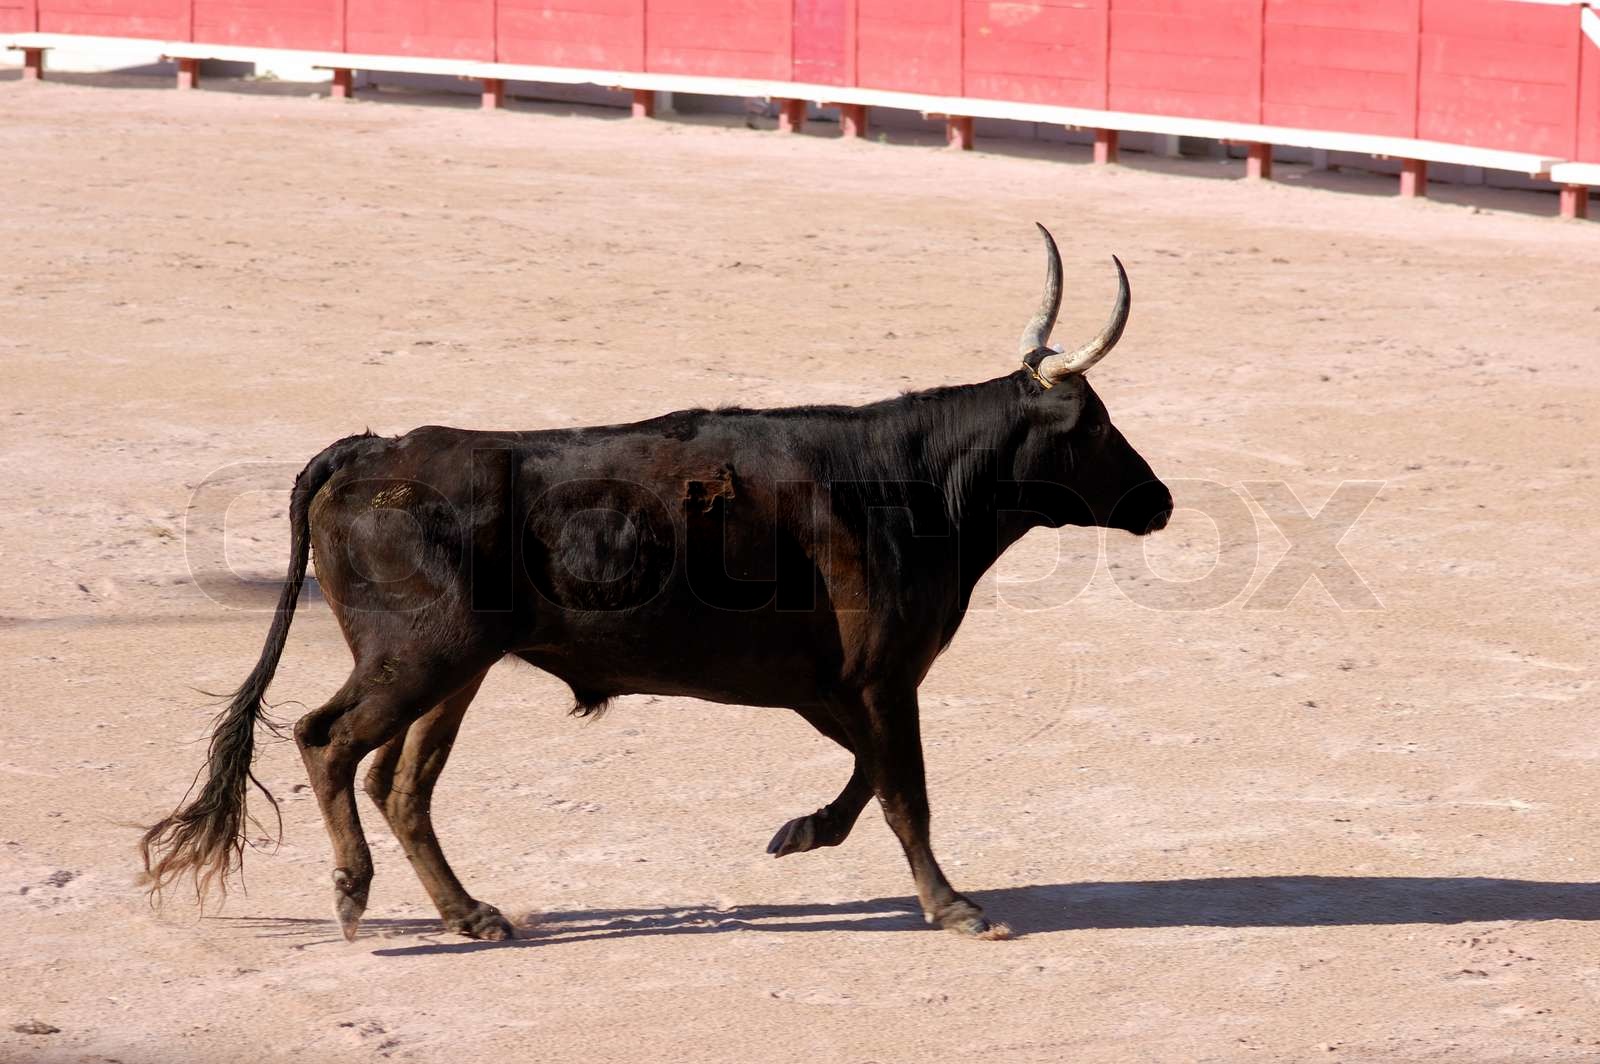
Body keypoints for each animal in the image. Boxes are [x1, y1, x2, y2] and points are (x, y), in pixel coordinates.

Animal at [141, 224, 1172, 942]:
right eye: (1096, 425)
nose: (1159, 500)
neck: (909, 481)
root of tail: (374, 449)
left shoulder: (832, 685)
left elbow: (865, 777)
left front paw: (800, 834)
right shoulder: (883, 678)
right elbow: (904, 790)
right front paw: (955, 907)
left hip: (456, 668)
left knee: (403, 783)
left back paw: (471, 915)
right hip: (422, 655)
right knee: (328, 741)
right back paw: (356, 895)